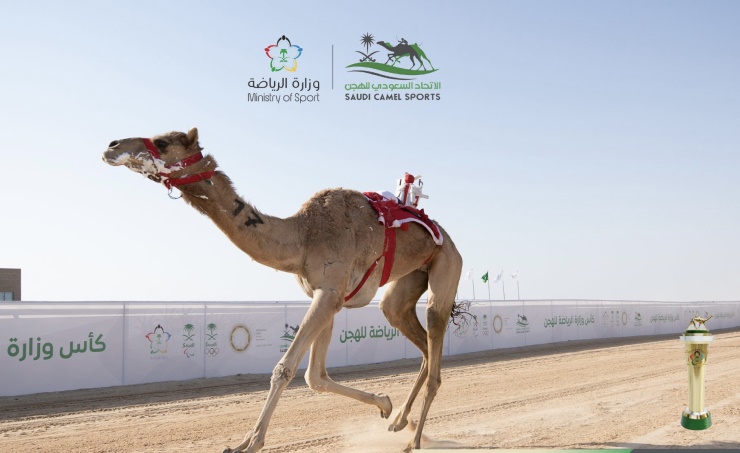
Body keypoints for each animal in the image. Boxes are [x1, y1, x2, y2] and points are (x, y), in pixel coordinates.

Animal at [102, 128, 463, 452]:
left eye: (163, 141)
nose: (111, 145)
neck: (303, 236)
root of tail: (447, 239)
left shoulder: (330, 293)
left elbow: (285, 368)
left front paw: (250, 443)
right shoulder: (327, 295)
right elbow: (315, 376)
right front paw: (384, 403)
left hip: (447, 267)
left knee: (434, 342)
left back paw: (414, 440)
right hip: (405, 286)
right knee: (419, 342)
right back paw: (401, 421)